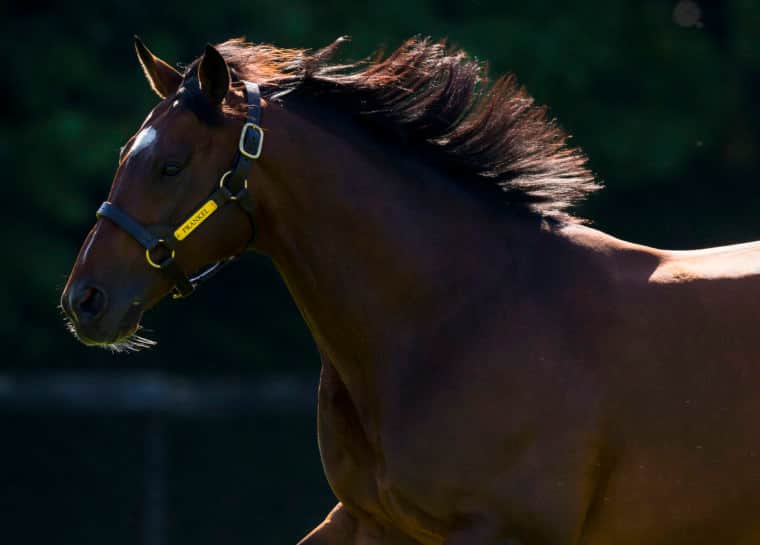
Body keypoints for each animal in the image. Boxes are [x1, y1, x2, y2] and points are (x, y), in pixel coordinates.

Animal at [60, 36, 760, 545]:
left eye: (169, 165)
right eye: (126, 154)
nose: (84, 302)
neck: (454, 318)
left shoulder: (500, 530)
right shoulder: (369, 519)